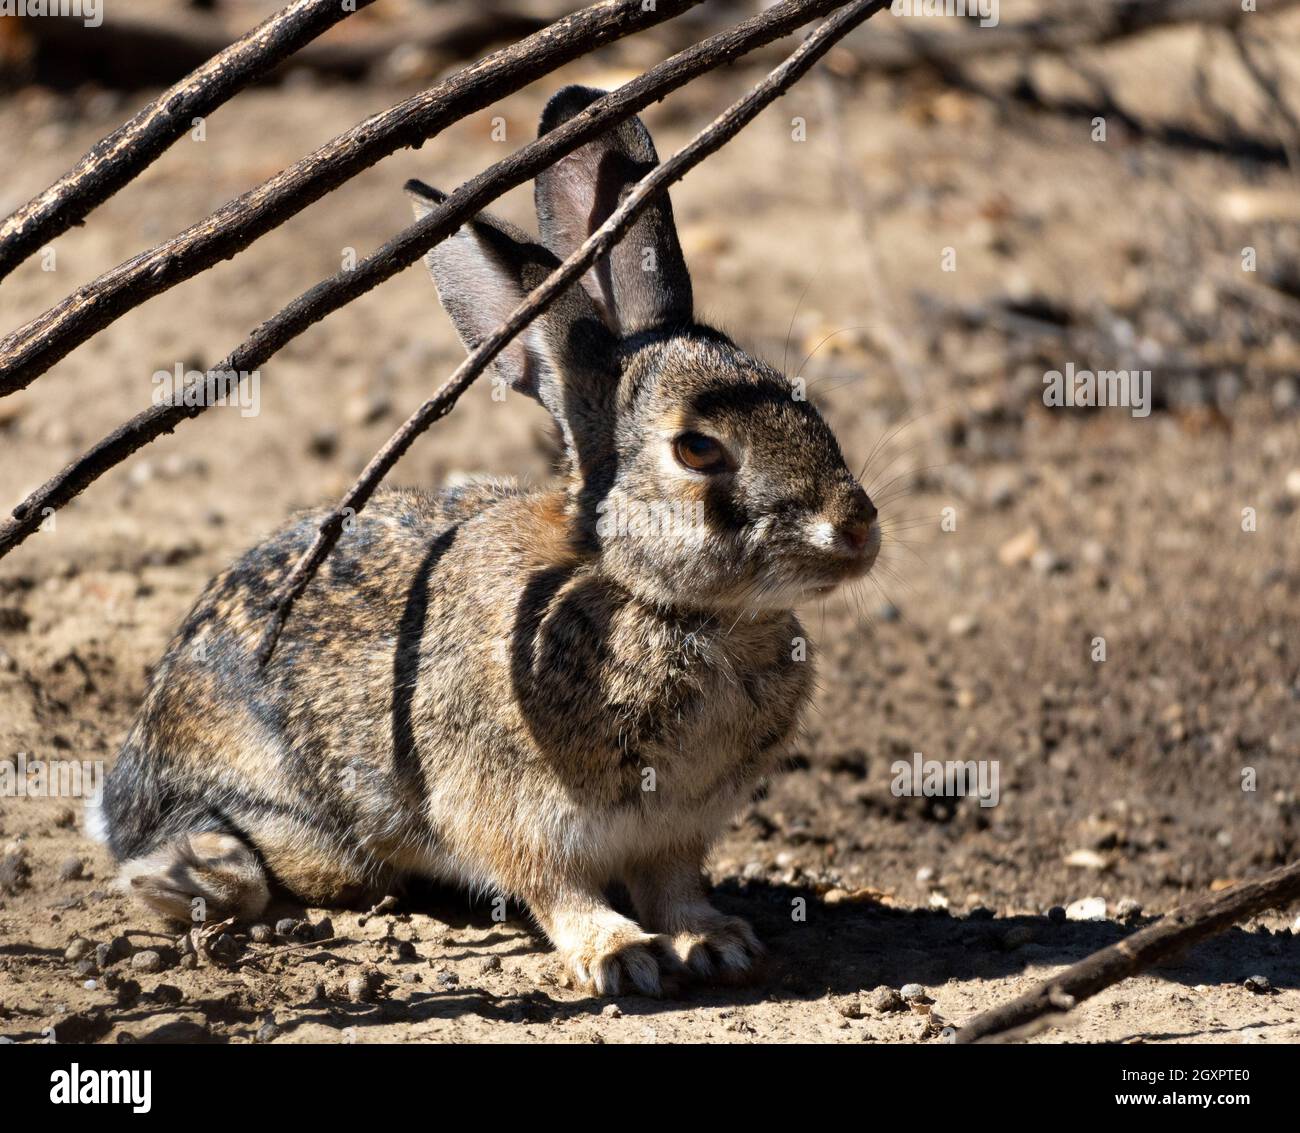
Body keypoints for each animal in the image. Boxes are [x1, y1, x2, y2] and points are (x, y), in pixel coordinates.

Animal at [93, 85, 880, 996]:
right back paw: (196, 876)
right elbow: (554, 883)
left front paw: (714, 940)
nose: (857, 525)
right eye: (697, 449)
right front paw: (621, 954)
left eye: (804, 401)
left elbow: (674, 883)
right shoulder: (507, 801)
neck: (657, 600)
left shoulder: (677, 828)